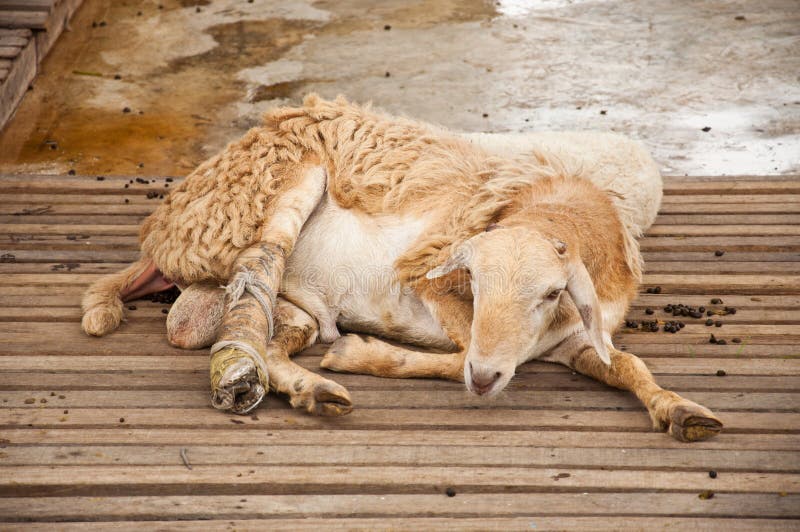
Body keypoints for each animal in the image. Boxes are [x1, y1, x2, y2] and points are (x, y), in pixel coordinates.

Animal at [81, 94, 722, 441]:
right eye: (476, 281)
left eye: (549, 294)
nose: (489, 378)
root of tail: (165, 229)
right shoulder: (430, 281)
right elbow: (462, 356)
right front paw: (361, 354)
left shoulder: (575, 340)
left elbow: (630, 366)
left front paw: (683, 411)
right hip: (283, 186)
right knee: (255, 281)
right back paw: (278, 374)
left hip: (295, 305)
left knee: (272, 341)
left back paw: (313, 390)